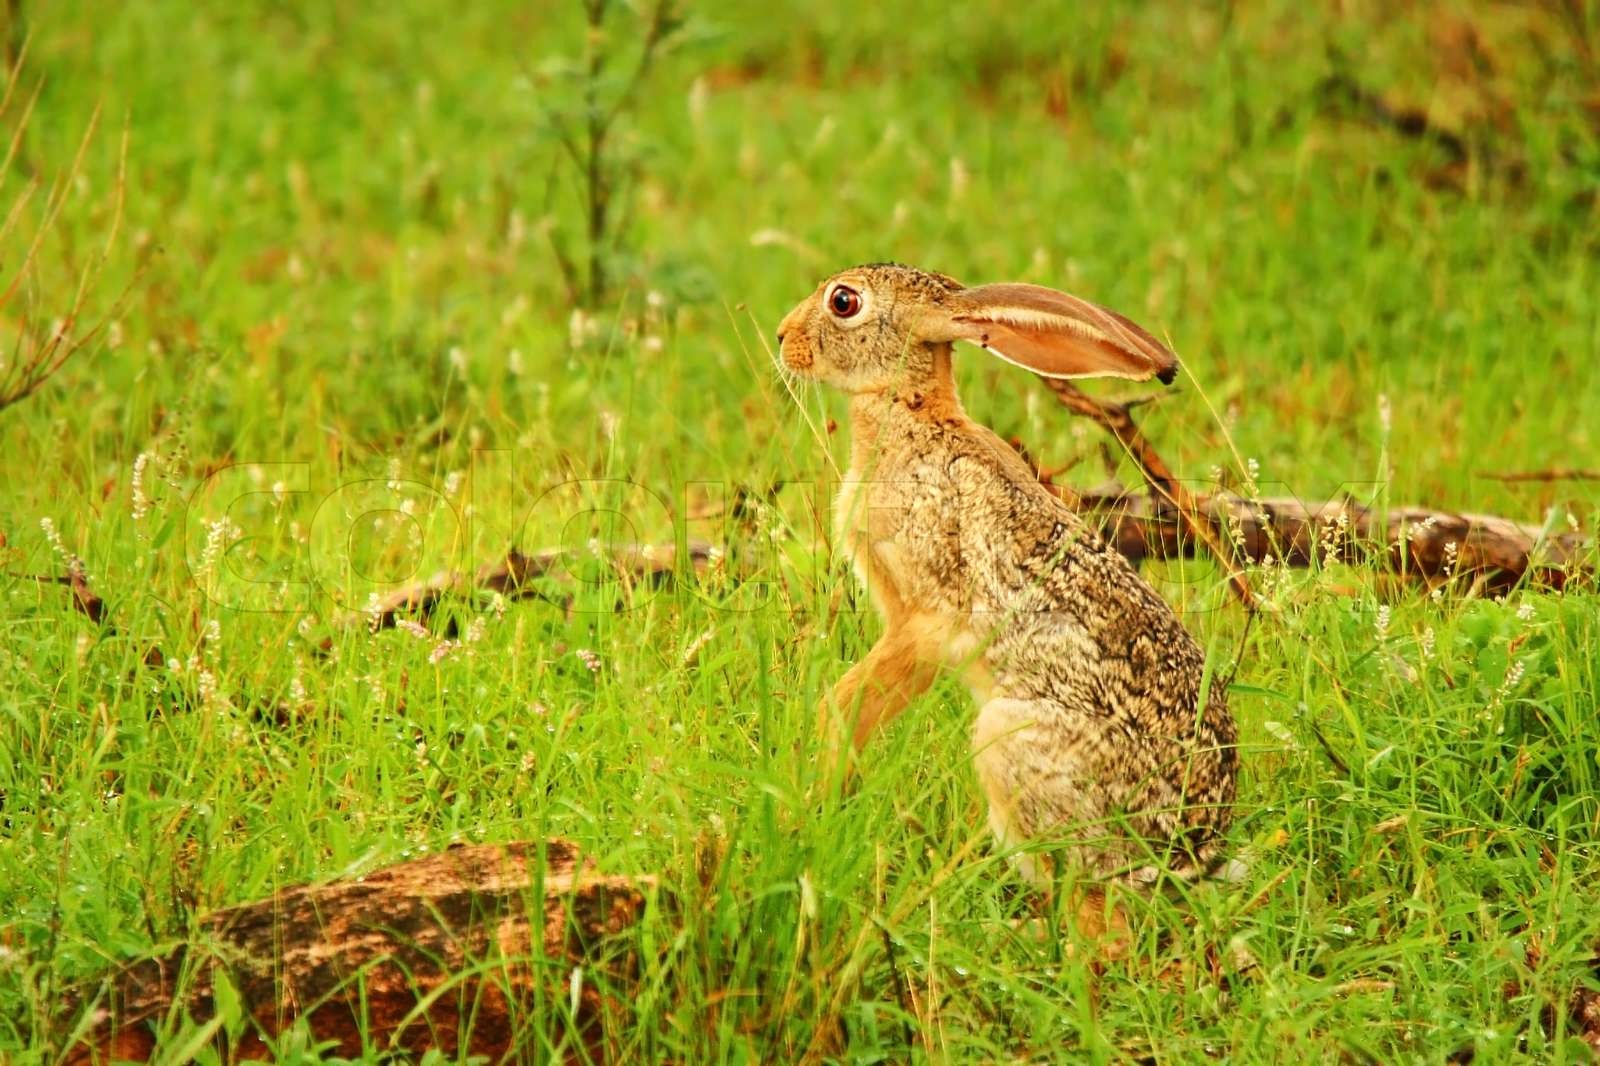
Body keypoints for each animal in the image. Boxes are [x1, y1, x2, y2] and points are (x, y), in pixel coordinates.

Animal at [775, 263, 1236, 889]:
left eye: (843, 302)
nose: (782, 337)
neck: (914, 415)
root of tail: (1190, 850)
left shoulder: (923, 618)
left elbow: (847, 704)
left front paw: (818, 792)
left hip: (1009, 743)